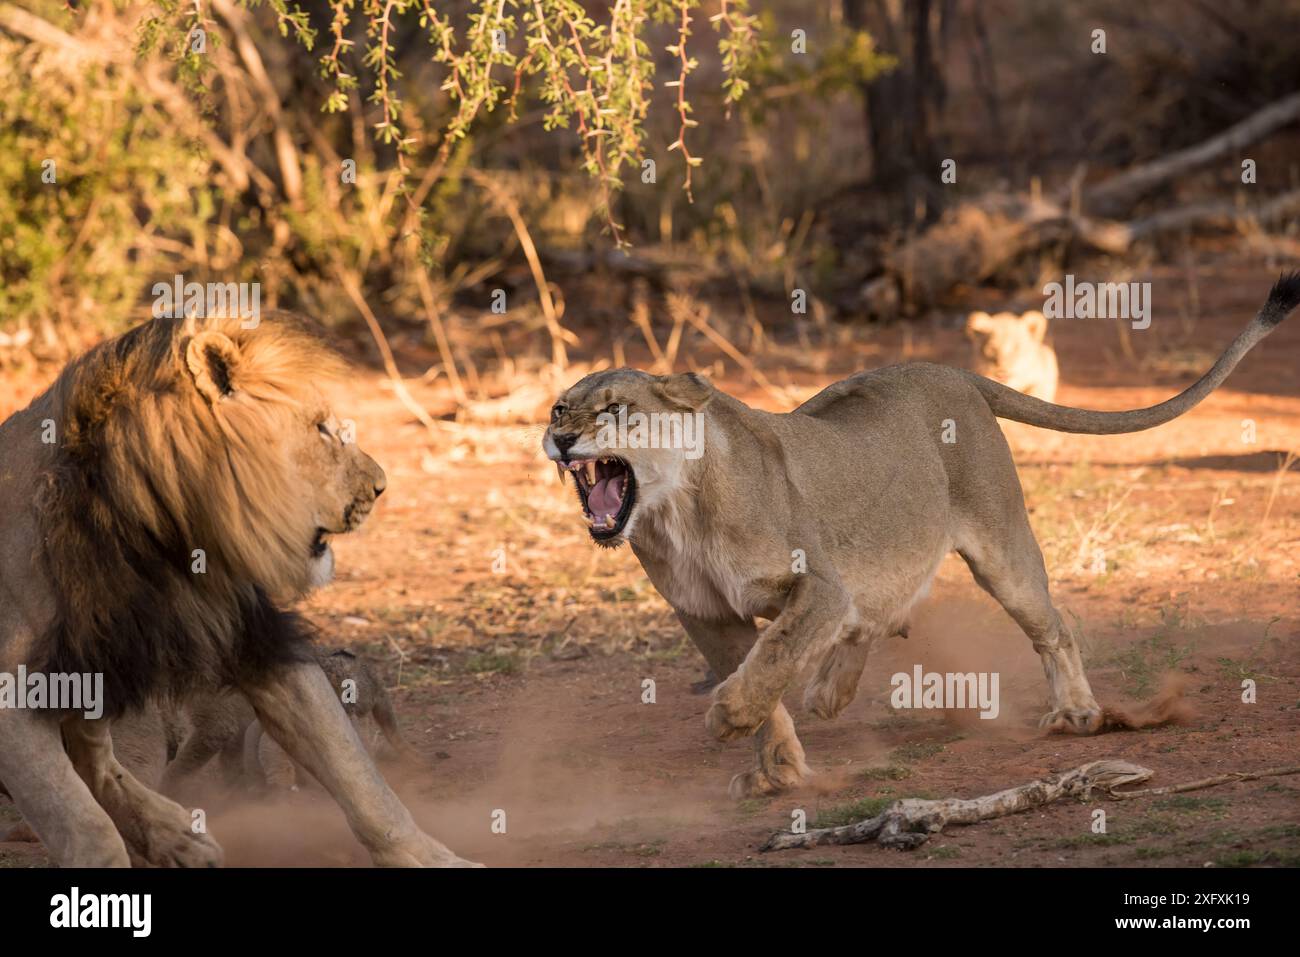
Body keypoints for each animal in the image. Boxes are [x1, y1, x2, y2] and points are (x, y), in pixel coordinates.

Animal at [0, 311, 472, 866]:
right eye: (320, 429)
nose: (380, 486)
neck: (160, 542)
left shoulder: (253, 639)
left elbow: (360, 779)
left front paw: (437, 858)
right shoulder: (13, 698)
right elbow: (83, 824)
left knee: (97, 755)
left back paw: (177, 835)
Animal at [542, 274, 1298, 798]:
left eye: (616, 409)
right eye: (558, 408)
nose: (561, 438)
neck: (677, 513)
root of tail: (949, 369)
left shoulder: (818, 582)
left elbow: (774, 655)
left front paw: (729, 717)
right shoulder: (705, 612)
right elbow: (768, 677)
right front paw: (777, 767)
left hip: (1001, 548)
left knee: (1052, 624)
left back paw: (1077, 712)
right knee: (881, 610)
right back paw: (832, 691)